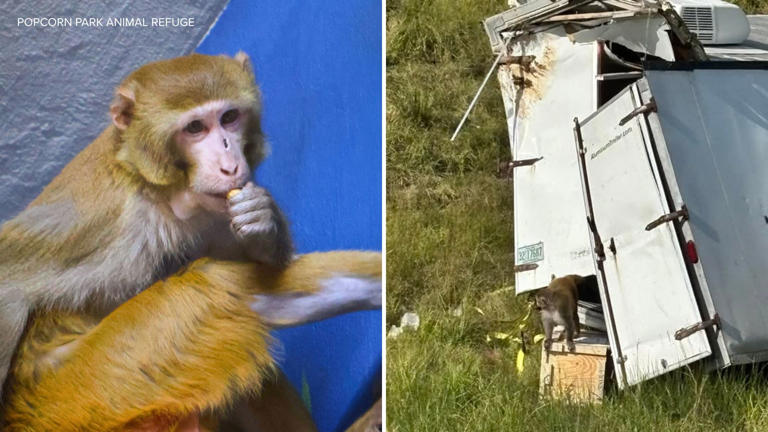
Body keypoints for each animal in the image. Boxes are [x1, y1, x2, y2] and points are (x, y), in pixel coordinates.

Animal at [0, 52, 381, 430]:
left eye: (229, 118)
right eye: (195, 128)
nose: (230, 164)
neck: (161, 193)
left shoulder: (213, 213)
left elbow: (262, 261)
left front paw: (262, 218)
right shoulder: (102, 222)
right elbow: (10, 284)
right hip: (84, 388)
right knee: (214, 286)